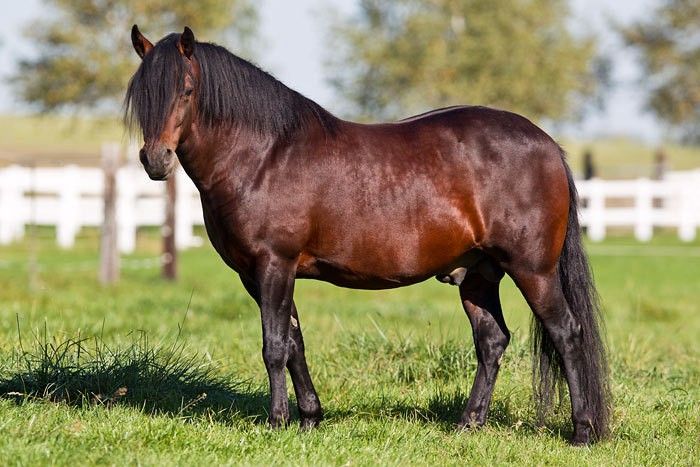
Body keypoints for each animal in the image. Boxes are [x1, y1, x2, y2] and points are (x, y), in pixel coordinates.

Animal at [126, 25, 611, 445]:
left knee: (567, 333)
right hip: (478, 274)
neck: (264, 155)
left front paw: (277, 422)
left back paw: (582, 432)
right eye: (142, 95)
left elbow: (274, 346)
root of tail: (548, 145)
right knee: (492, 341)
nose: (155, 159)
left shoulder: (274, 265)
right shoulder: (258, 275)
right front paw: (309, 418)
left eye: (186, 90)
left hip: (533, 271)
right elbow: (295, 343)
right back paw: (468, 424)